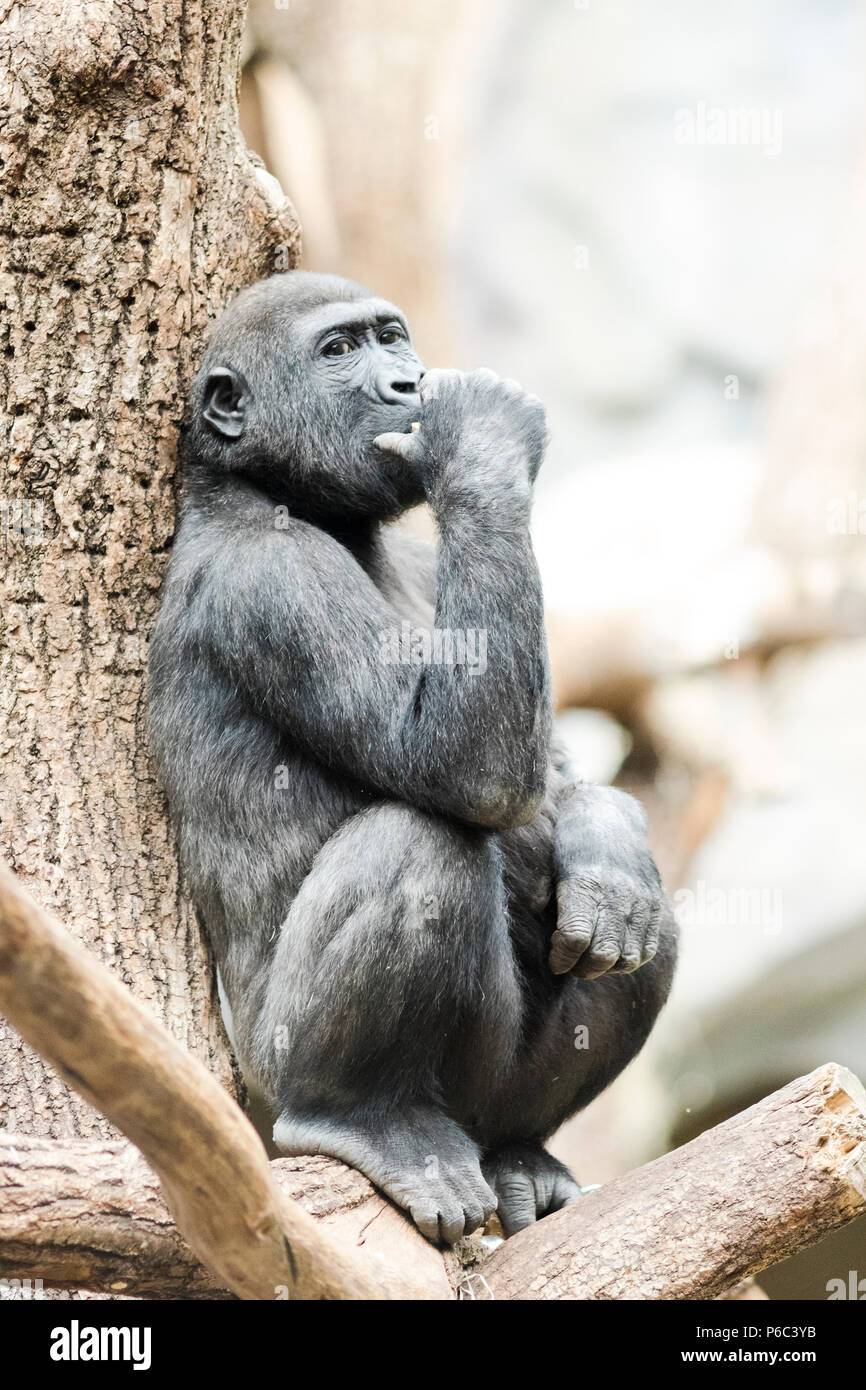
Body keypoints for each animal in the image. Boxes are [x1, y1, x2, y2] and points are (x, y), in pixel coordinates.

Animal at [147, 271, 677, 1245]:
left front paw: (604, 840)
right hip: (262, 1092)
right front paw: (484, 436)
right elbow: (460, 766)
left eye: (390, 337)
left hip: (482, 1102)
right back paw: (359, 1115)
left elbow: (553, 771)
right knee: (420, 845)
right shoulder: (273, 579)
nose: (408, 381)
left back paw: (521, 1148)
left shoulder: (435, 560)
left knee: (645, 922)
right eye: (338, 351)